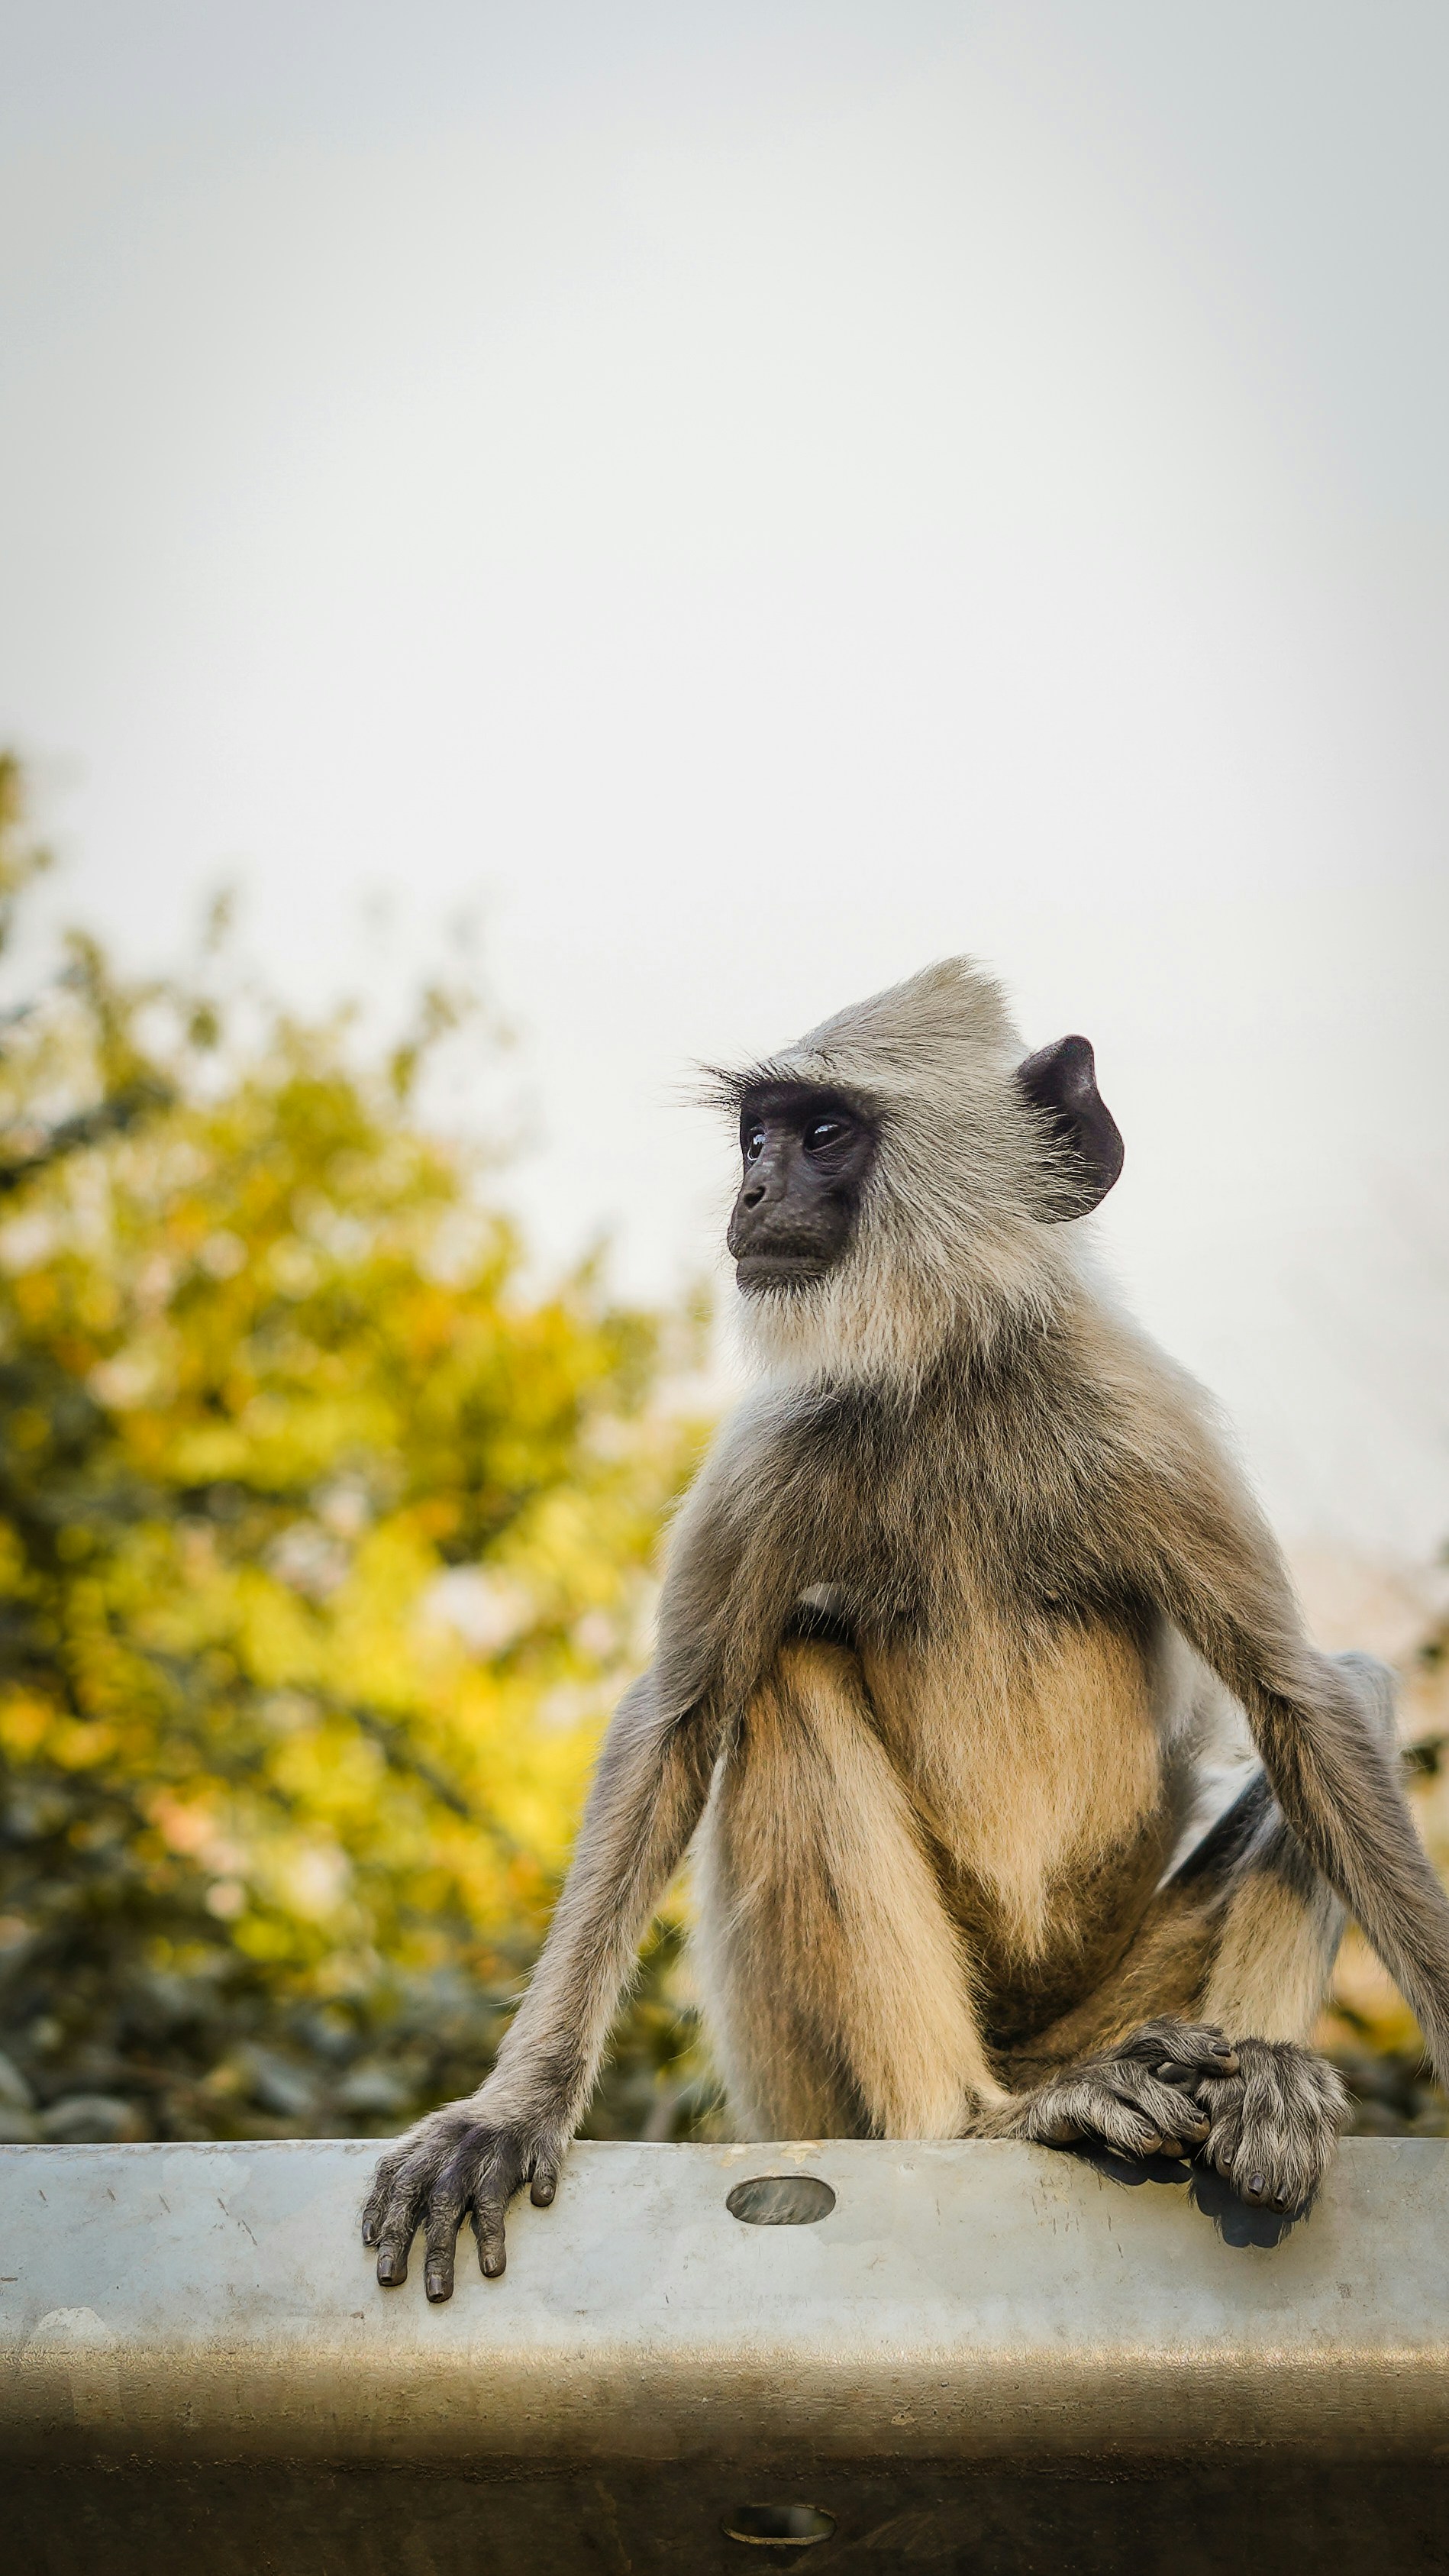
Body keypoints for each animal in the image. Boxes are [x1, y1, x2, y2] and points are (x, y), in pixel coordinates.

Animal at [364, 956, 1449, 2301]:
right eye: (755, 1135)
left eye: (824, 1134)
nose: (753, 1191)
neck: (949, 1370)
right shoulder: (776, 1447)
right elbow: (673, 1720)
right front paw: (507, 2113)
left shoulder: (1146, 1423)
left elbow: (1297, 1696)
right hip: (810, 2083)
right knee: (785, 1673)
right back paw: (989, 2117)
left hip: (1123, 1998)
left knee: (1343, 1692)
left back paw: (1263, 2088)